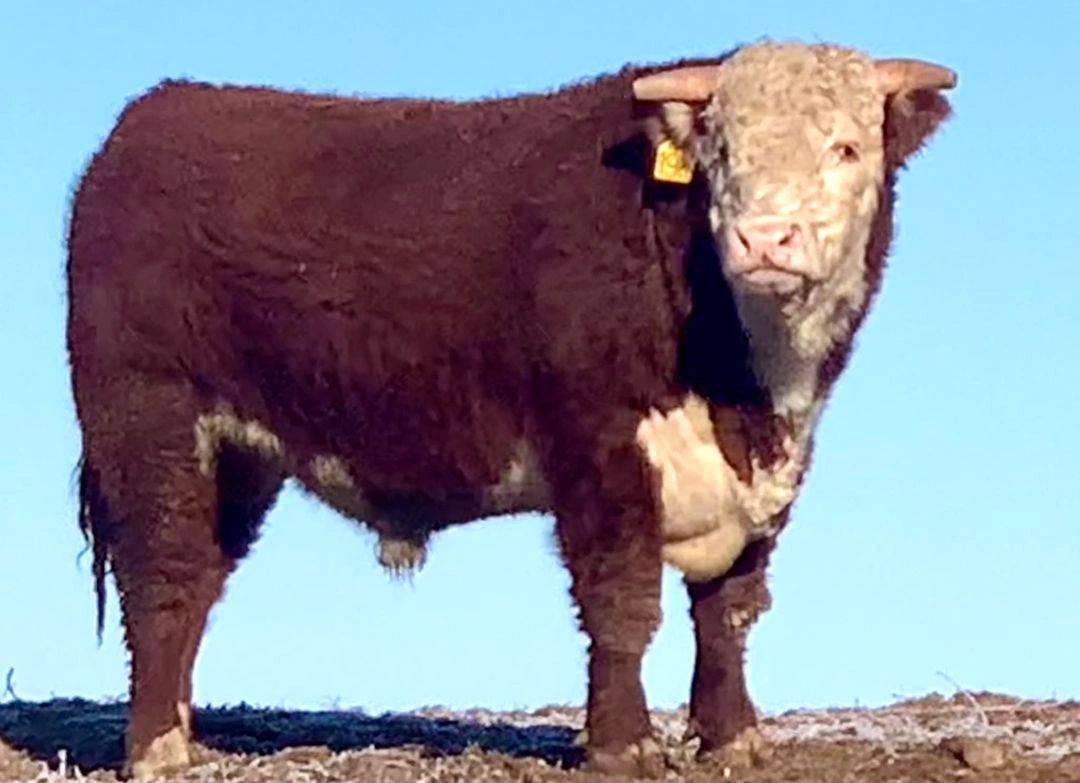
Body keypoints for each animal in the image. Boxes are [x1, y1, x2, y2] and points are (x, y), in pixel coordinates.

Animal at [66, 40, 956, 779]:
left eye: (846, 147)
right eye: (721, 150)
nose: (766, 239)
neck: (747, 389)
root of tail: (151, 116)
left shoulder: (772, 472)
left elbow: (729, 610)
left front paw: (732, 737)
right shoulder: (599, 448)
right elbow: (623, 604)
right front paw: (624, 745)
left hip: (239, 459)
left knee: (198, 579)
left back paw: (185, 733)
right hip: (148, 421)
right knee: (163, 576)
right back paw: (156, 749)